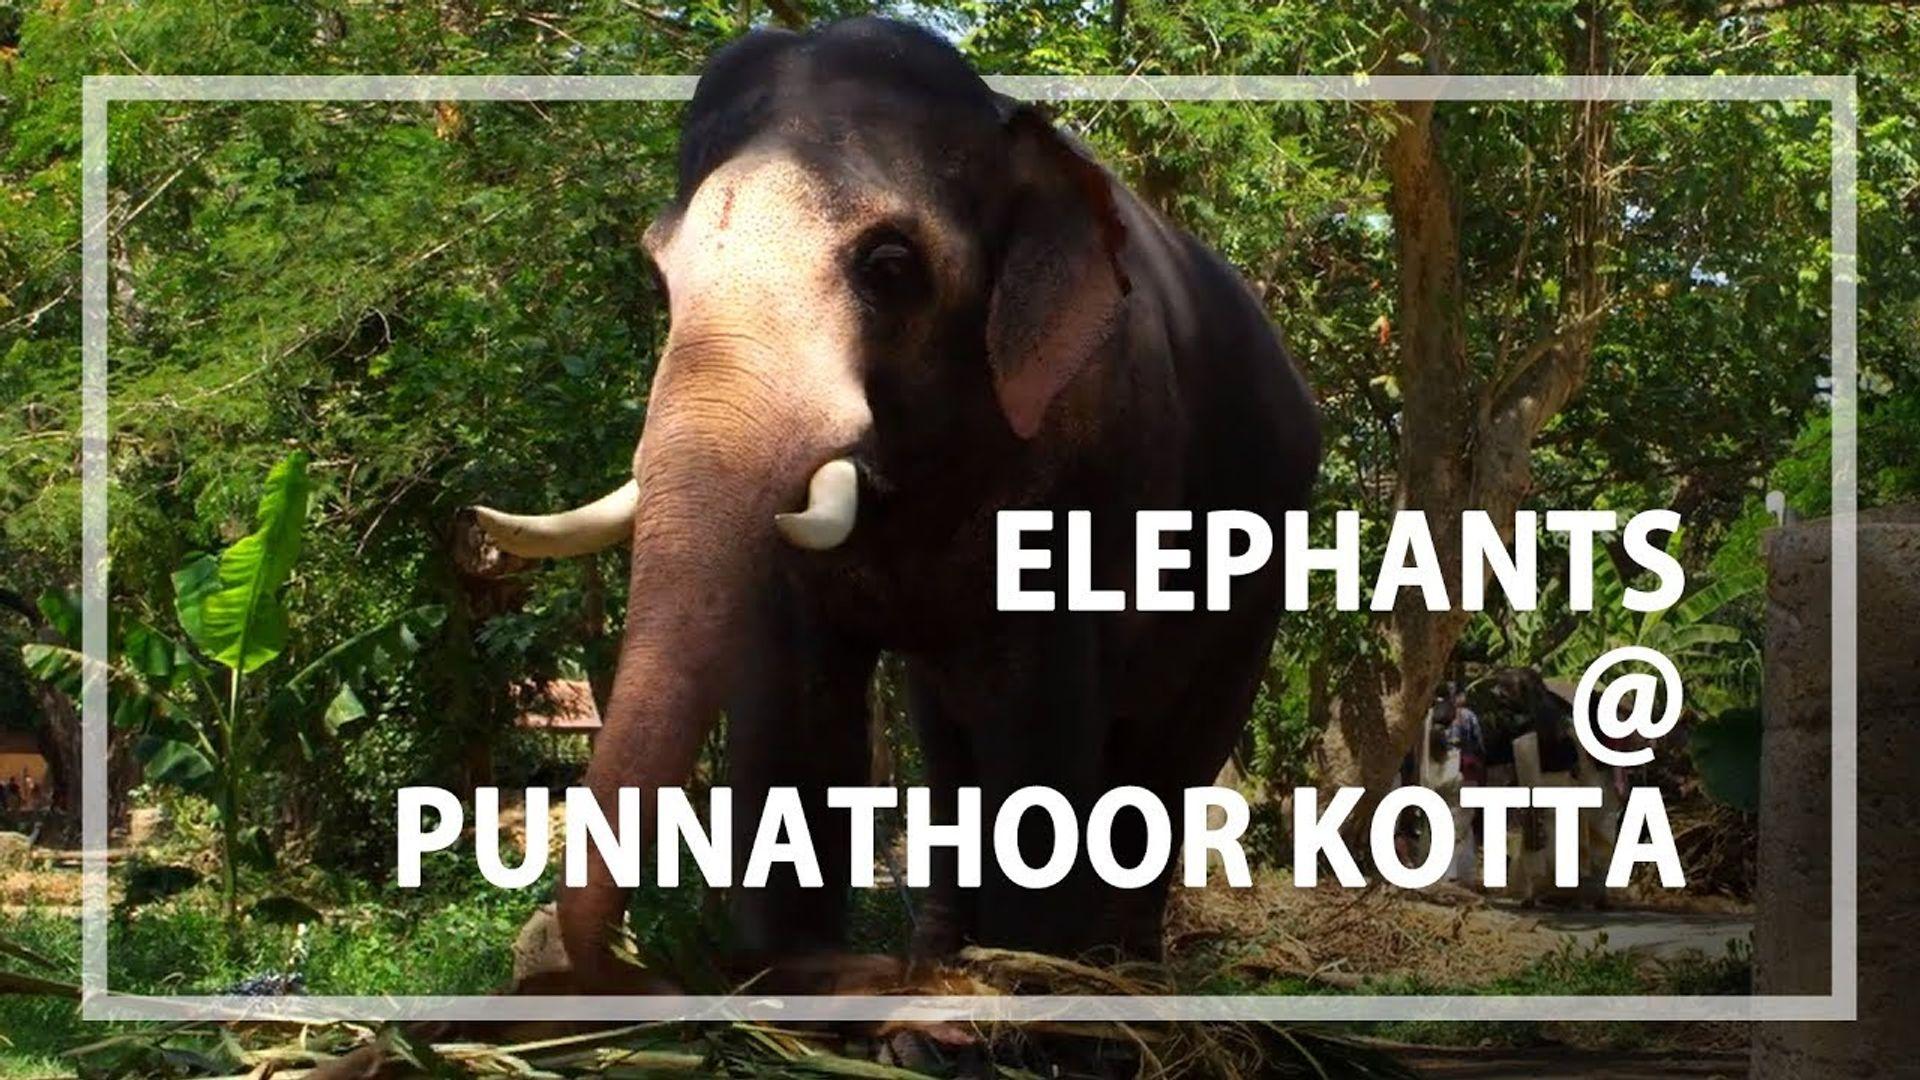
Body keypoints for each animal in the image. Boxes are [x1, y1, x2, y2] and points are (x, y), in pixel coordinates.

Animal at [468, 17, 1322, 992]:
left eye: (887, 266)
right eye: (658, 277)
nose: (623, 965)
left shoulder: (1095, 460)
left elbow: (1039, 707)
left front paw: (1028, 976)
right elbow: (796, 679)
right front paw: (800, 967)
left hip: (1265, 549)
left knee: (1172, 745)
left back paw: (1117, 965)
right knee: (950, 735)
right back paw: (942, 951)